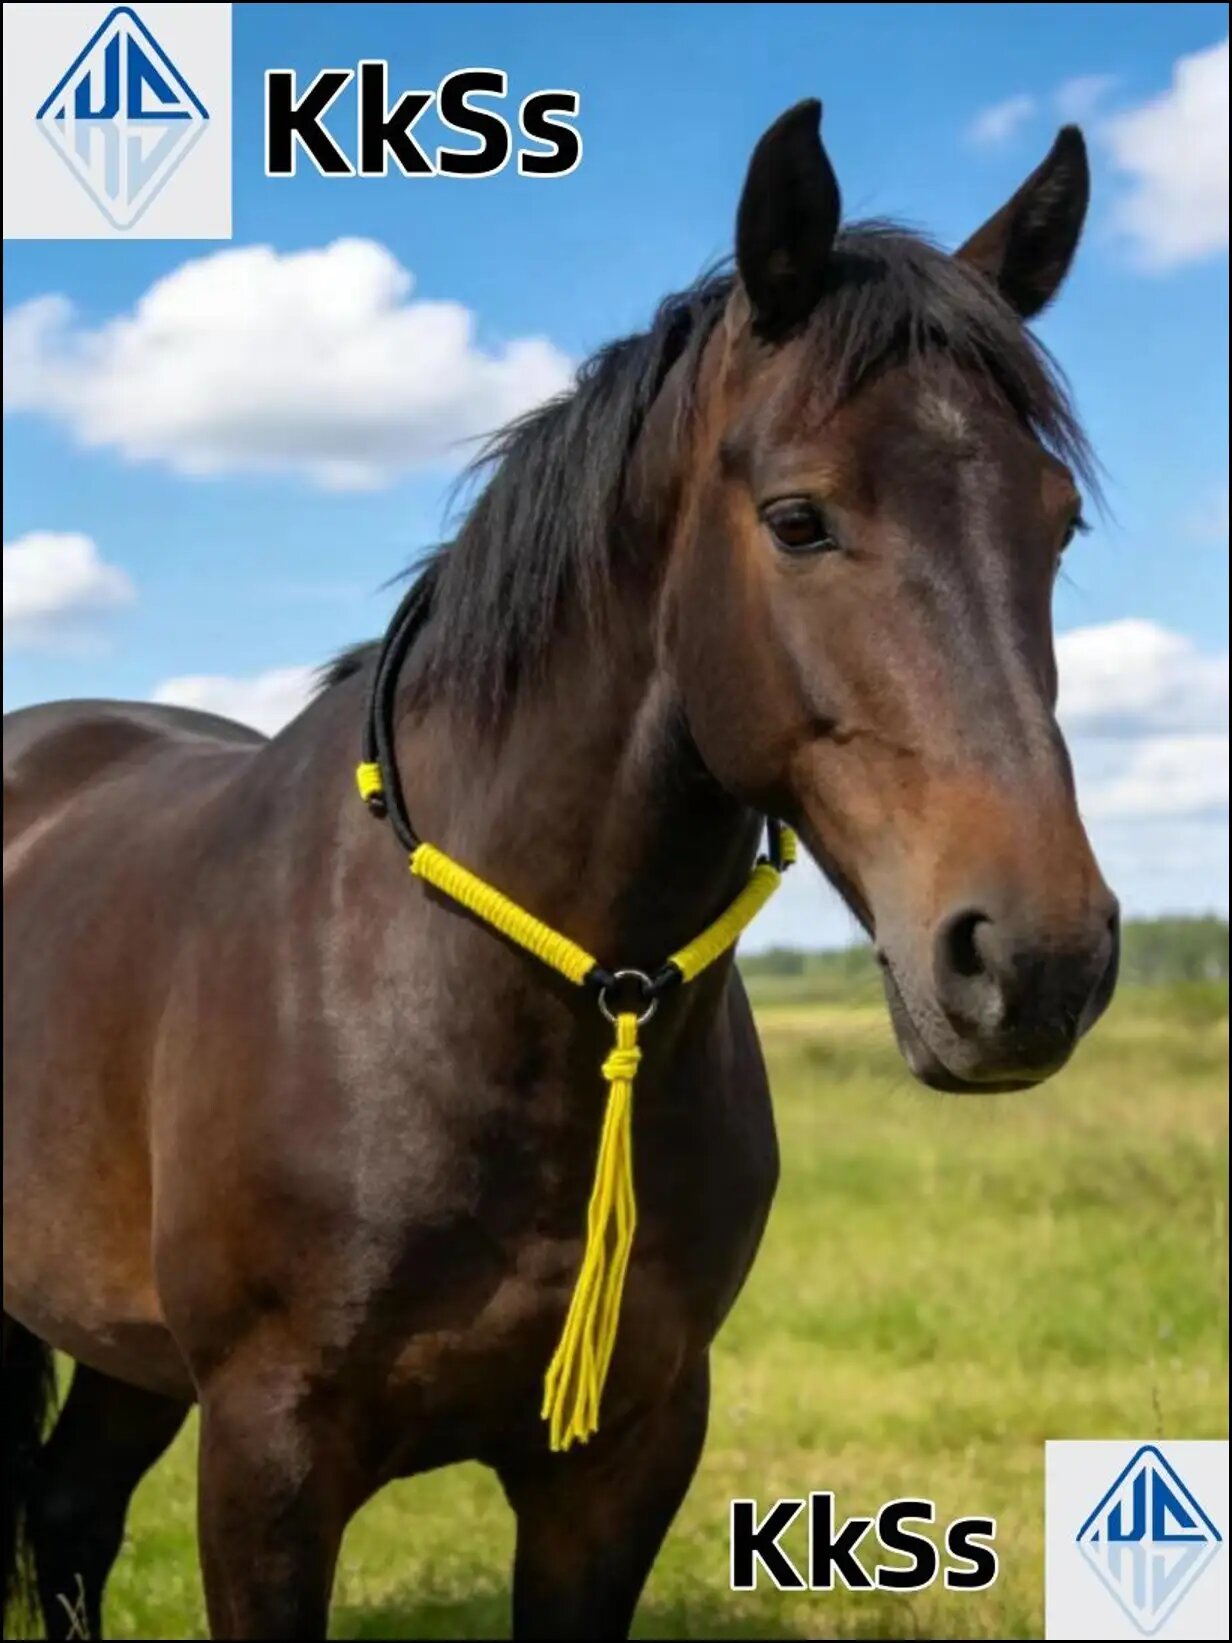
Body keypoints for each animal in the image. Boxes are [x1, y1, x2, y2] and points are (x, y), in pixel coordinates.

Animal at [3, 100, 1119, 1640]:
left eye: (1055, 522)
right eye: (798, 517)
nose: (1035, 958)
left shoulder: (623, 1454)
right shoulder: (267, 1454)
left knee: (67, 1511)